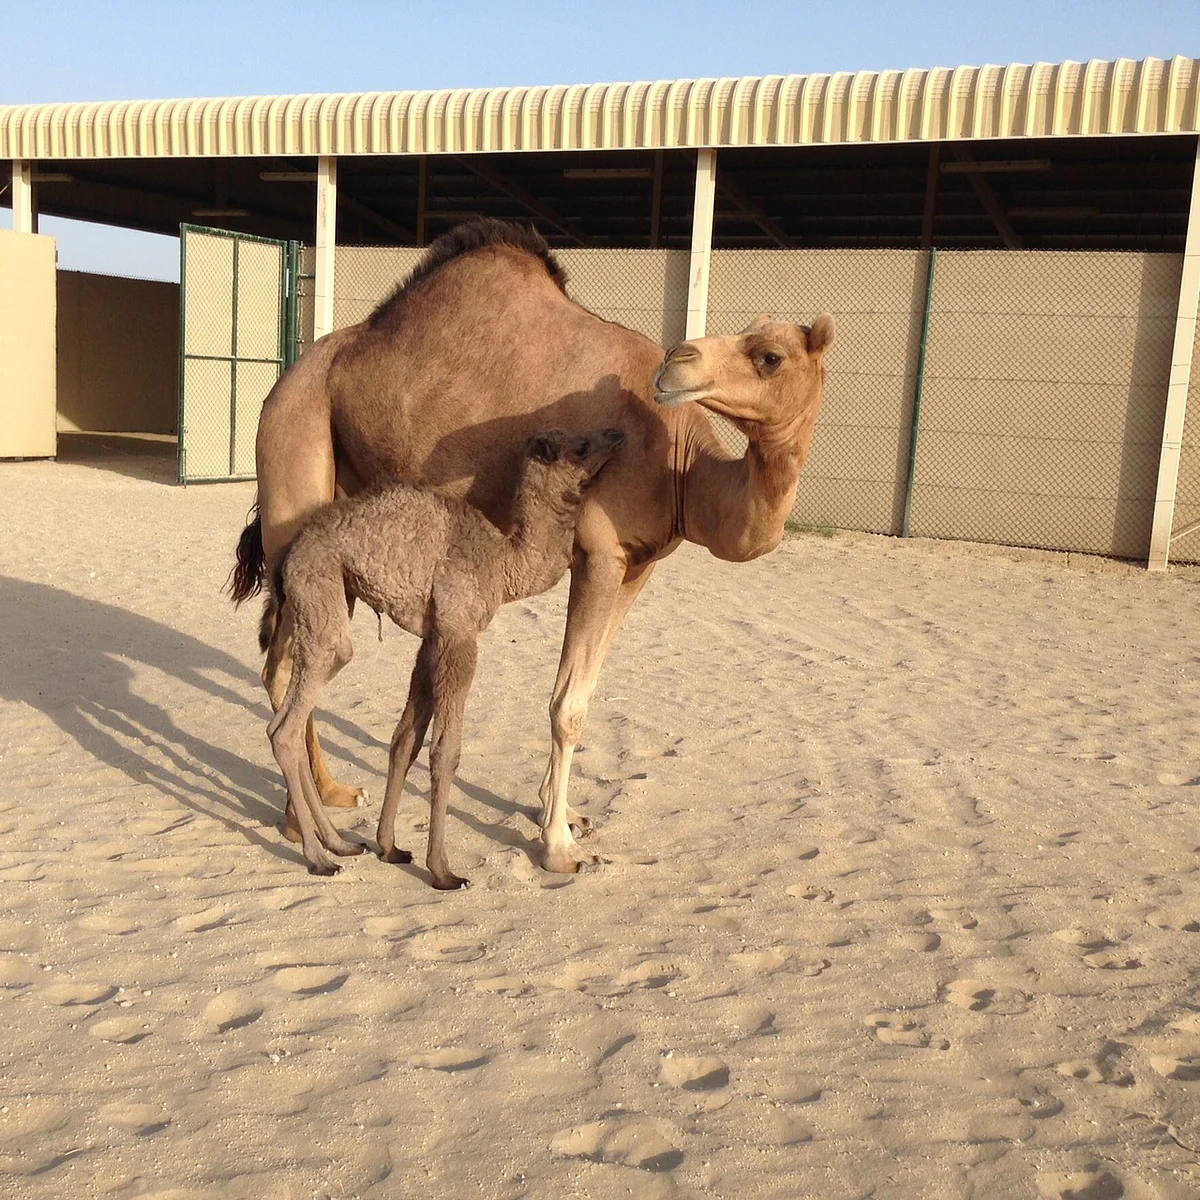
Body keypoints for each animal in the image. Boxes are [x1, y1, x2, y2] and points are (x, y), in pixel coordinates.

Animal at [265, 427, 624, 885]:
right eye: (581, 447)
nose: (616, 434)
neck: (502, 564)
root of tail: (288, 555)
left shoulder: (433, 638)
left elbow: (405, 739)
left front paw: (389, 846)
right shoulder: (459, 633)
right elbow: (445, 750)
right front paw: (443, 870)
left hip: (323, 598)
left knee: (293, 713)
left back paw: (341, 843)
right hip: (320, 590)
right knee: (288, 724)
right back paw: (319, 858)